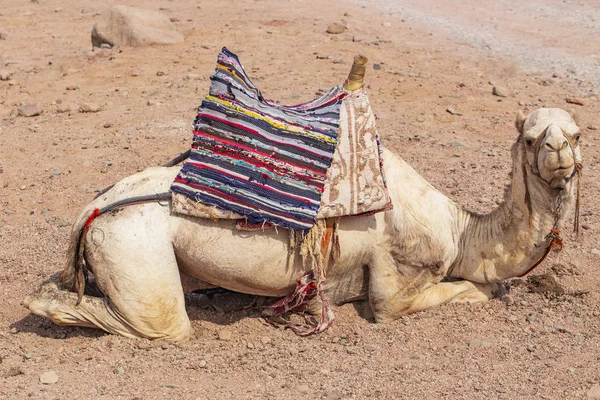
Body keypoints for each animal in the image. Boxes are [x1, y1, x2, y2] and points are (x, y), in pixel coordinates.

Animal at [23, 57, 580, 342]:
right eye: (531, 137)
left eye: (577, 133)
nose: (557, 151)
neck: (461, 229)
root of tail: (90, 212)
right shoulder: (395, 289)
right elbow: (472, 291)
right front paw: (489, 289)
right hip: (133, 248)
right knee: (163, 325)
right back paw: (45, 303)